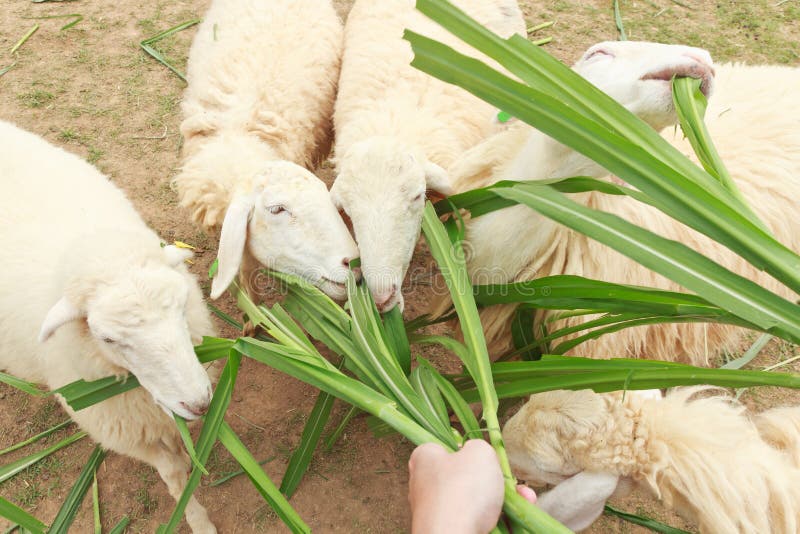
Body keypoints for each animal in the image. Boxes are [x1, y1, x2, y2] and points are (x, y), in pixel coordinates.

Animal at [0, 120, 218, 534]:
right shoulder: (121, 428)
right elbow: (172, 474)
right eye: (109, 339)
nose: (200, 402)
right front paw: (198, 519)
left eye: (182, 306)